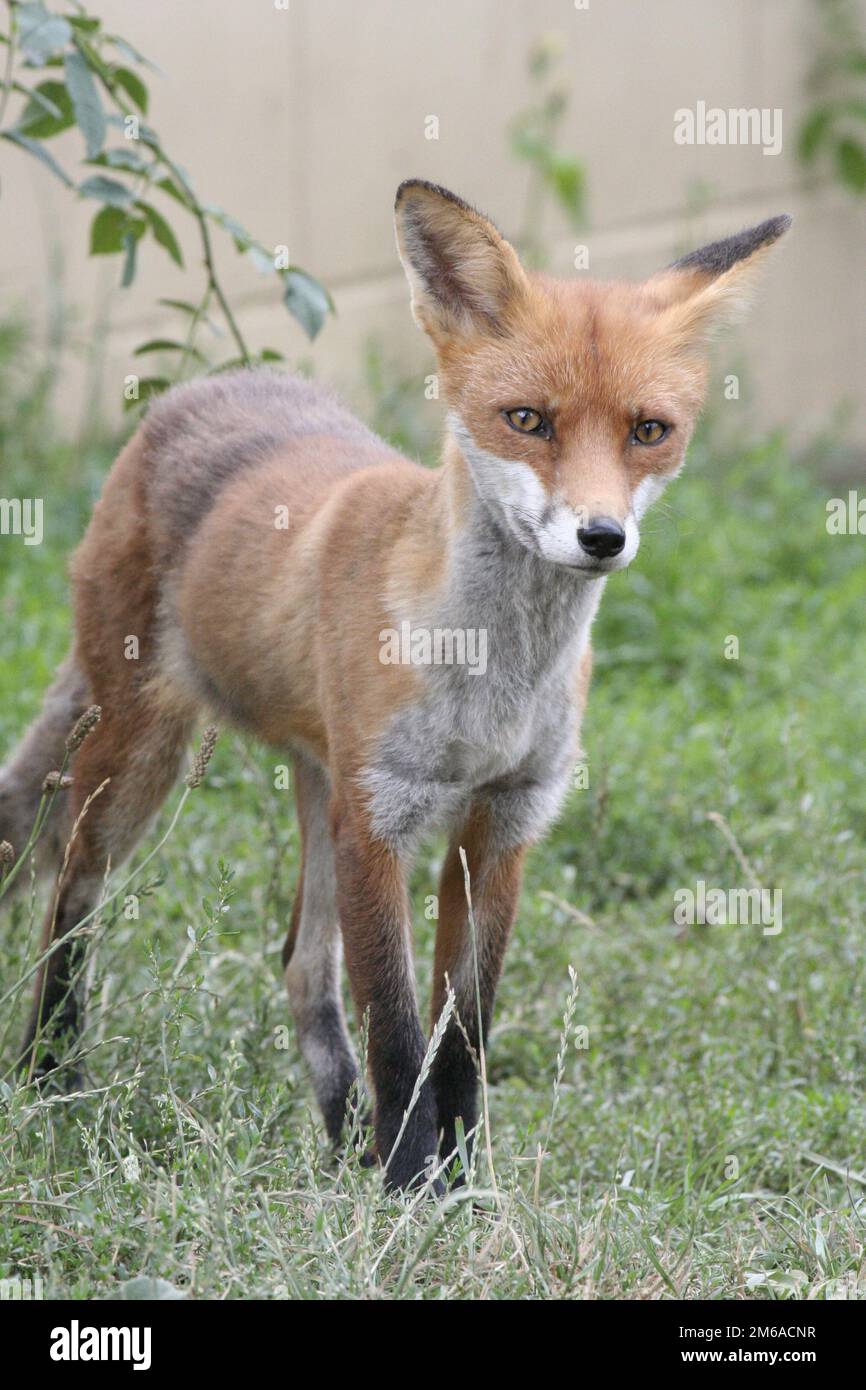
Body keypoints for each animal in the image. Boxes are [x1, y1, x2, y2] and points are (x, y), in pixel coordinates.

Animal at [0, 180, 790, 1191]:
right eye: (527, 420)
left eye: (649, 431)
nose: (602, 536)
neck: (491, 677)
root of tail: (200, 389)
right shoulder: (381, 816)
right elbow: (399, 1030)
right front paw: (411, 1186)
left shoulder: (504, 818)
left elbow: (463, 1036)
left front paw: (462, 1180)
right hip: (140, 757)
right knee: (69, 900)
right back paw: (52, 1078)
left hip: (315, 781)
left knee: (301, 965)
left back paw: (343, 1139)